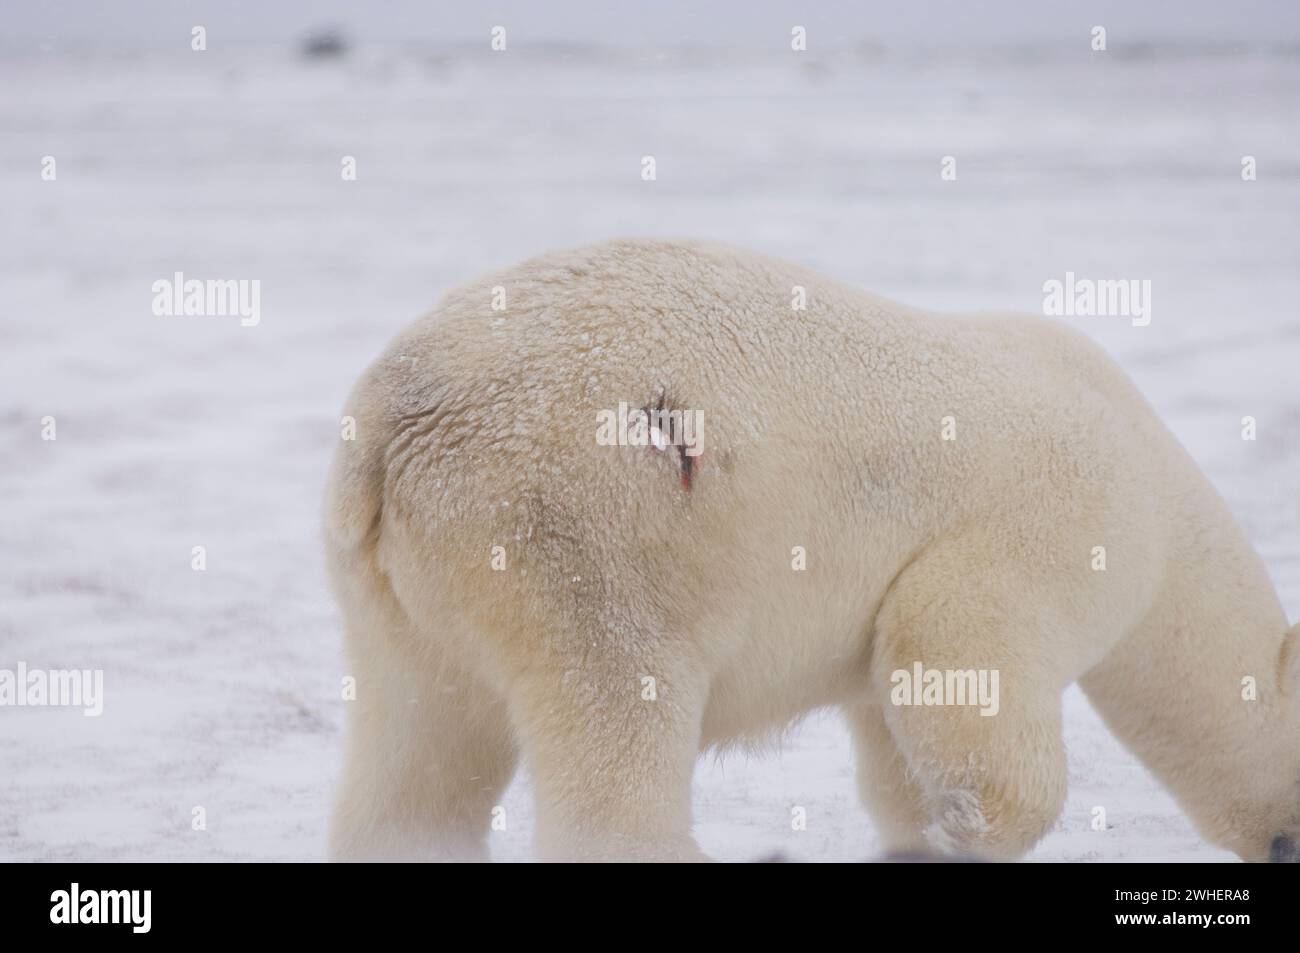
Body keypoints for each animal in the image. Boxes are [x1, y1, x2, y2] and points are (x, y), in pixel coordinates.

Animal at [323, 239, 1300, 862]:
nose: (1284, 846)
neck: (1161, 488)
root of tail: (403, 421)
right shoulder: (1060, 526)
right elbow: (957, 640)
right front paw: (969, 826)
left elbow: (893, 722)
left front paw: (922, 832)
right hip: (588, 533)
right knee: (617, 717)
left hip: (394, 589)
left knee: (418, 750)